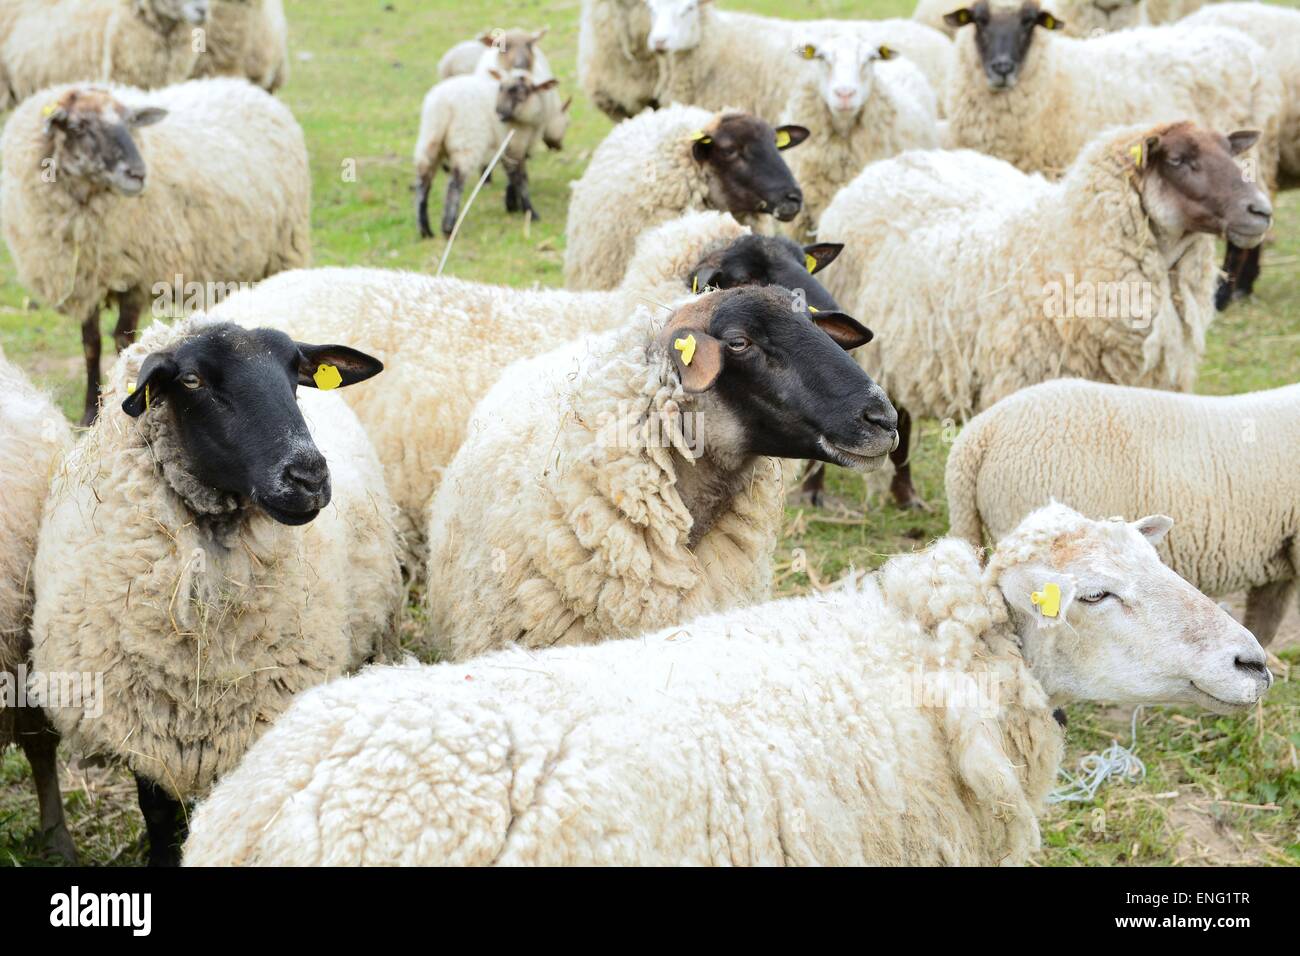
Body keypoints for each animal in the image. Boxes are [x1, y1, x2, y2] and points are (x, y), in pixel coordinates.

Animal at [0, 78, 311, 426]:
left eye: (130, 123)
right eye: (78, 127)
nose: (137, 173)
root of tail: (244, 86)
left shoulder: (137, 277)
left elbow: (122, 341)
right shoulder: (85, 279)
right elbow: (91, 344)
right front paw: (89, 412)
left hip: (283, 249)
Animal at [815, 121, 1273, 509]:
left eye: (1230, 152)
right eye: (1179, 160)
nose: (1261, 211)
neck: (1066, 244)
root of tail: (883, 167)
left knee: (902, 415)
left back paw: (906, 496)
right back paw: (815, 493)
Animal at [941, 1, 1283, 306]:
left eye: (1030, 21)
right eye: (978, 19)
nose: (1001, 68)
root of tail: (1241, 41)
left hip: (1254, 160)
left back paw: (1228, 293)